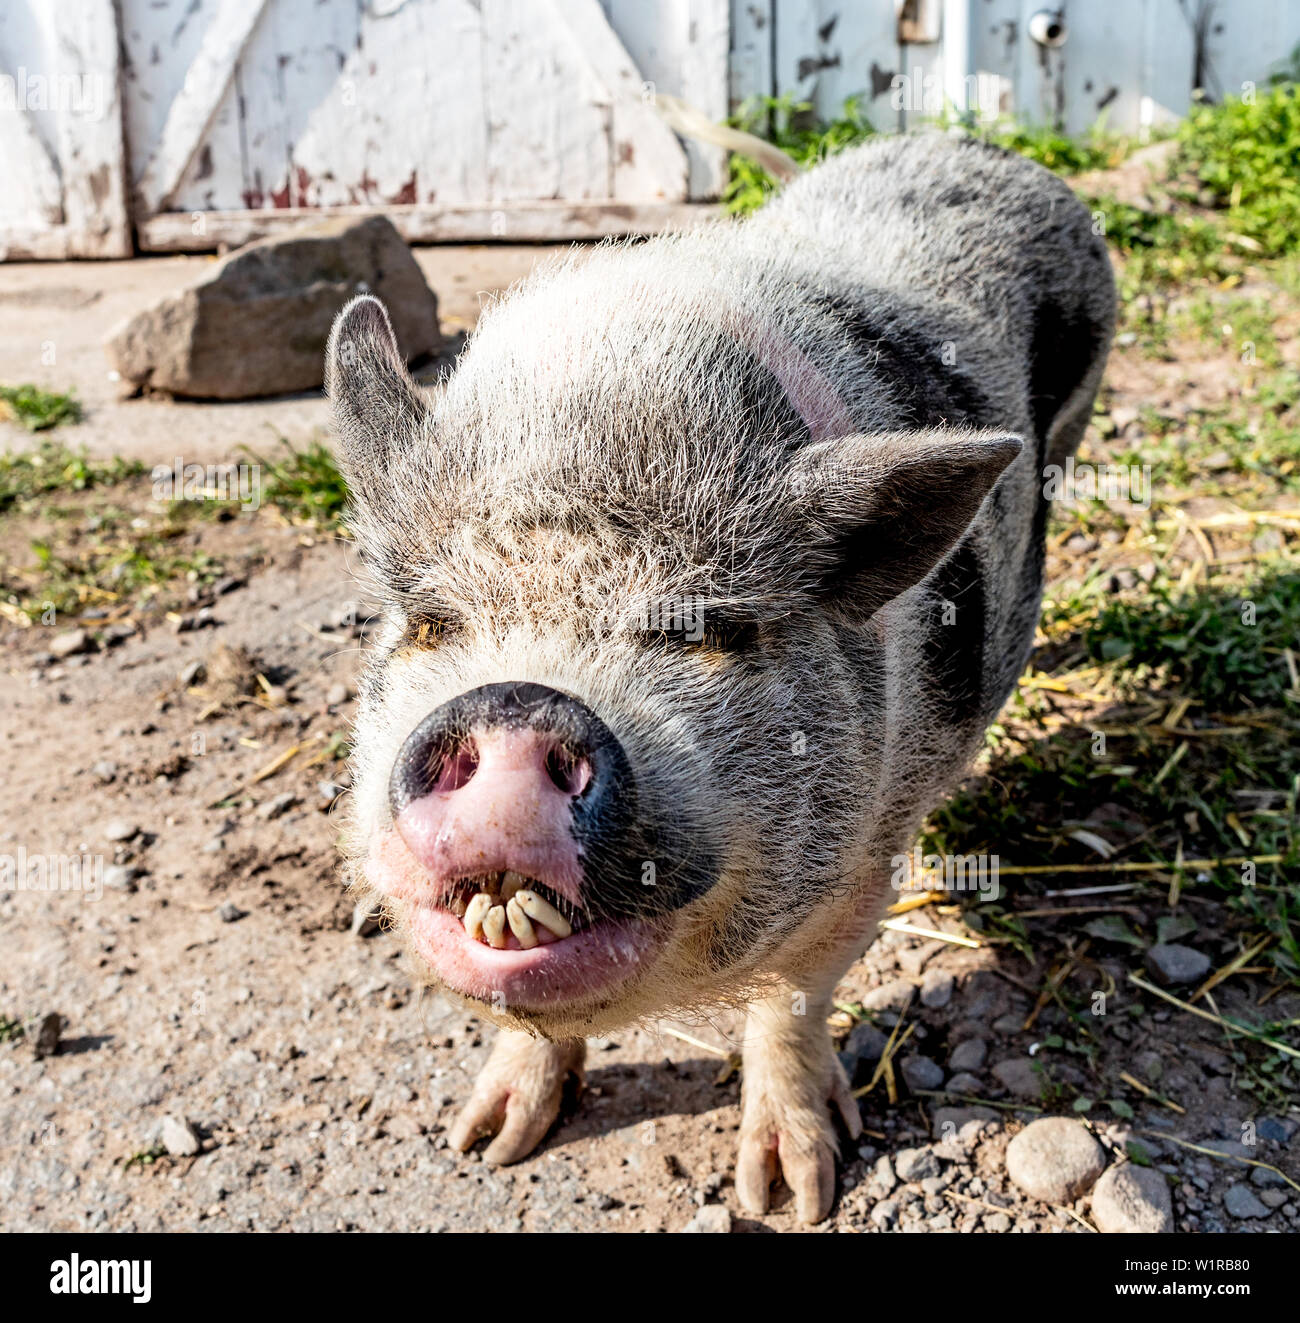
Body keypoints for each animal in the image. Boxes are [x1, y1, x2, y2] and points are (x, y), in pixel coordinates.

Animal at [327, 131, 1115, 1223]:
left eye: (710, 629)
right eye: (435, 621)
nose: (514, 704)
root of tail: (968, 143)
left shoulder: (866, 853)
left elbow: (792, 1001)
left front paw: (791, 1193)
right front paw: (487, 1144)